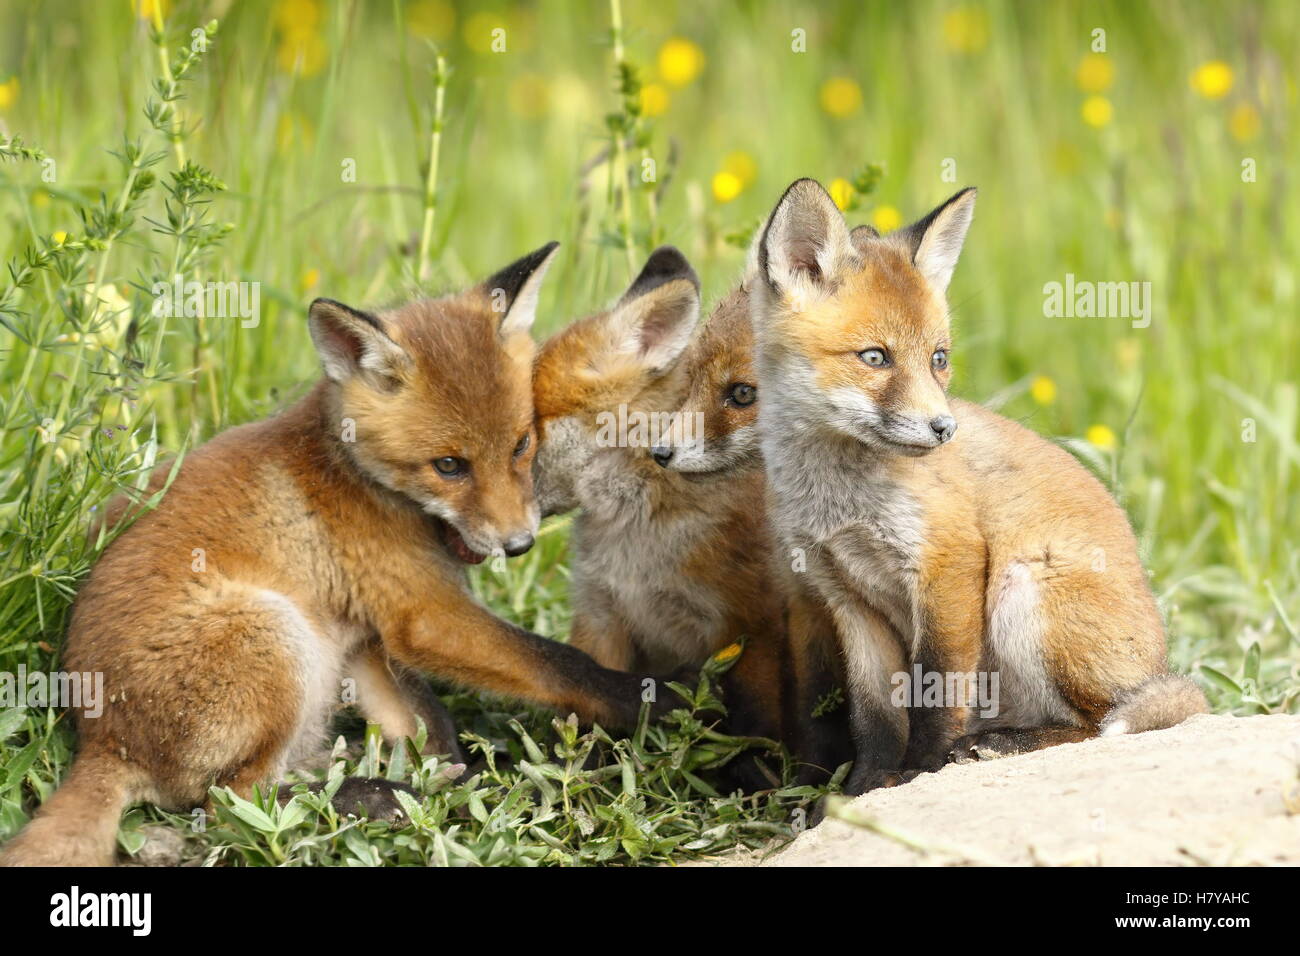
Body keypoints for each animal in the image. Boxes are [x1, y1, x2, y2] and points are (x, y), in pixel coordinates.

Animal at [1, 243, 680, 867]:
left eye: (520, 445)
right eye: (449, 466)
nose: (520, 544)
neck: (357, 473)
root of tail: (100, 741)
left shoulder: (363, 633)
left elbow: (427, 726)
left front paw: (459, 777)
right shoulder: (420, 615)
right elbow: (561, 663)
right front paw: (663, 702)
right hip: (278, 635)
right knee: (229, 802)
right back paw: (375, 798)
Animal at [750, 179, 1208, 798]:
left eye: (938, 358)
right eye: (875, 357)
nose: (944, 429)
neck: (840, 500)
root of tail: (1158, 665)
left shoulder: (950, 566)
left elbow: (937, 688)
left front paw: (920, 770)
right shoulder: (846, 596)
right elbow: (874, 716)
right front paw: (863, 788)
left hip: (1022, 590)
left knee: (1092, 723)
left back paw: (1002, 743)